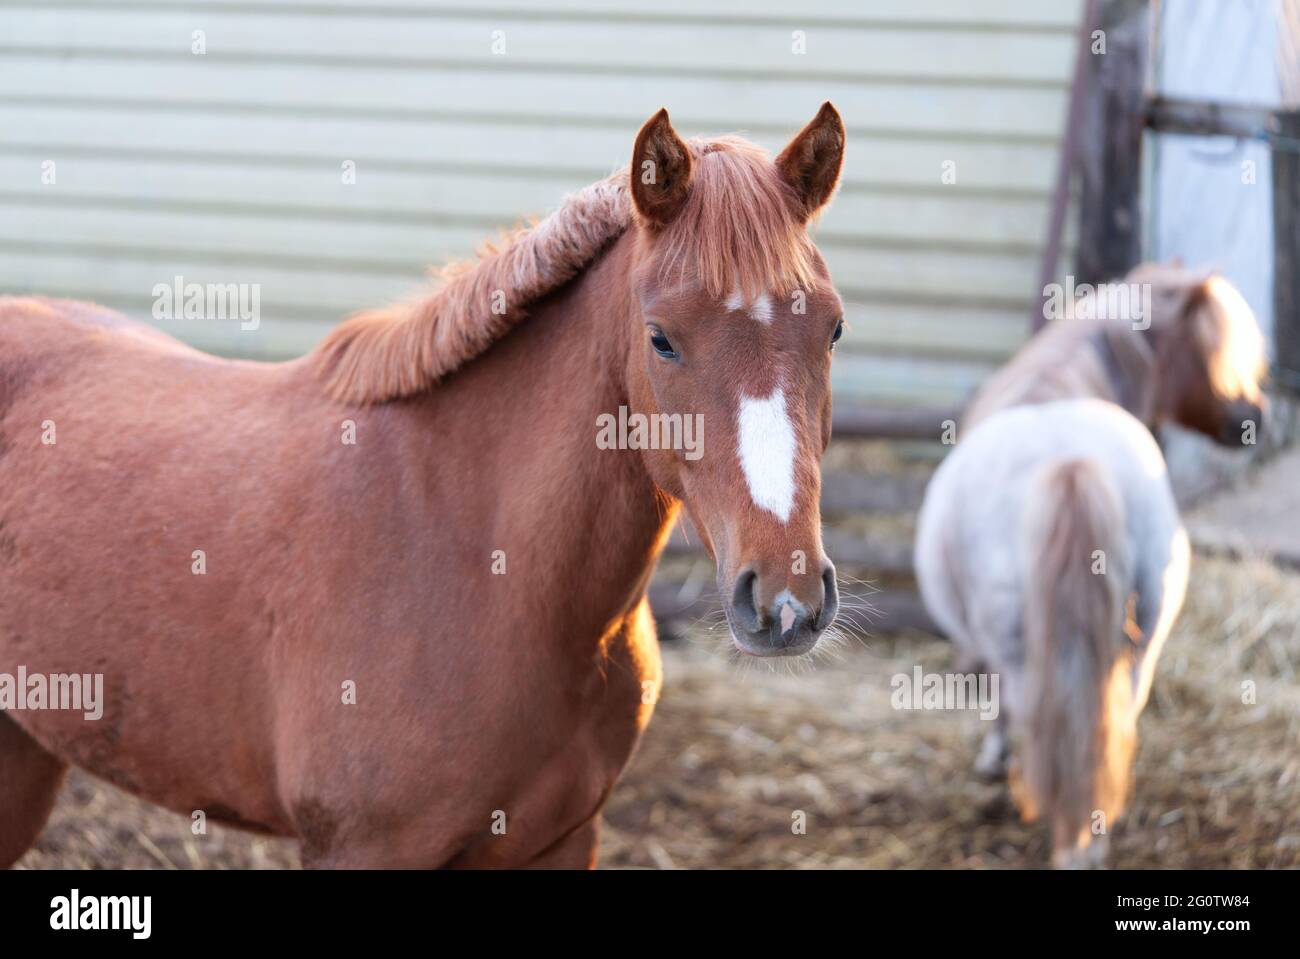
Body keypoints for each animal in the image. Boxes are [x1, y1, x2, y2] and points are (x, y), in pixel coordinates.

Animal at [0, 104, 847, 868]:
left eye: (833, 328)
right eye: (661, 339)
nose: (785, 598)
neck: (482, 562)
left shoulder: (564, 841)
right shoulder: (365, 848)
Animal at [914, 265, 1268, 867]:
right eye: (1208, 350)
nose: (1256, 417)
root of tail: (1070, 462)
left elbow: (999, 707)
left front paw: (993, 759)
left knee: (1039, 714)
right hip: (1144, 640)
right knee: (1112, 720)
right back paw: (1093, 836)